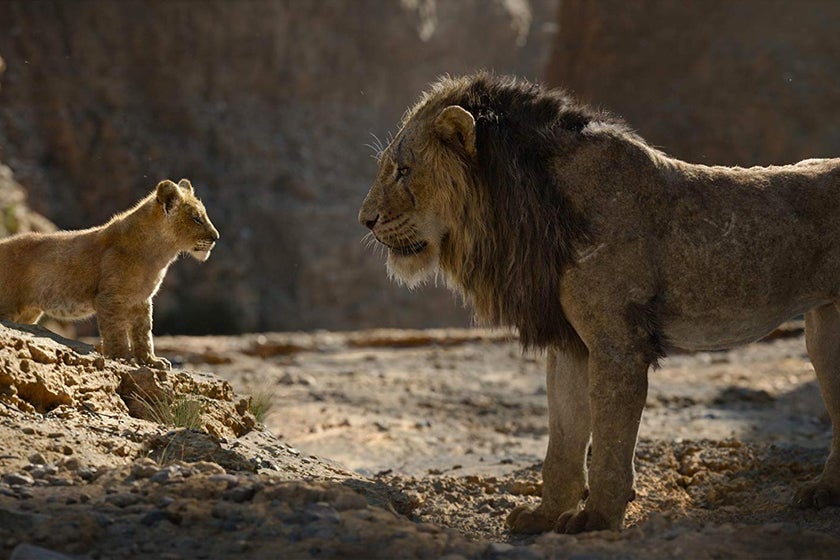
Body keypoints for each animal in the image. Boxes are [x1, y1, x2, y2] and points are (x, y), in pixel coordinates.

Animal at [0, 178, 219, 370]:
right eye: (197, 218)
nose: (216, 237)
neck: (159, 253)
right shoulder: (110, 298)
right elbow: (116, 331)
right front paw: (122, 358)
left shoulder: (141, 300)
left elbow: (144, 333)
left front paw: (151, 361)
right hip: (9, 306)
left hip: (28, 313)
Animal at [359, 72, 840, 533]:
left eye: (403, 170)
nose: (365, 220)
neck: (523, 209)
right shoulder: (571, 344)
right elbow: (563, 441)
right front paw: (545, 516)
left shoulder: (618, 344)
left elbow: (609, 442)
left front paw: (597, 520)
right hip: (824, 333)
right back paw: (824, 492)